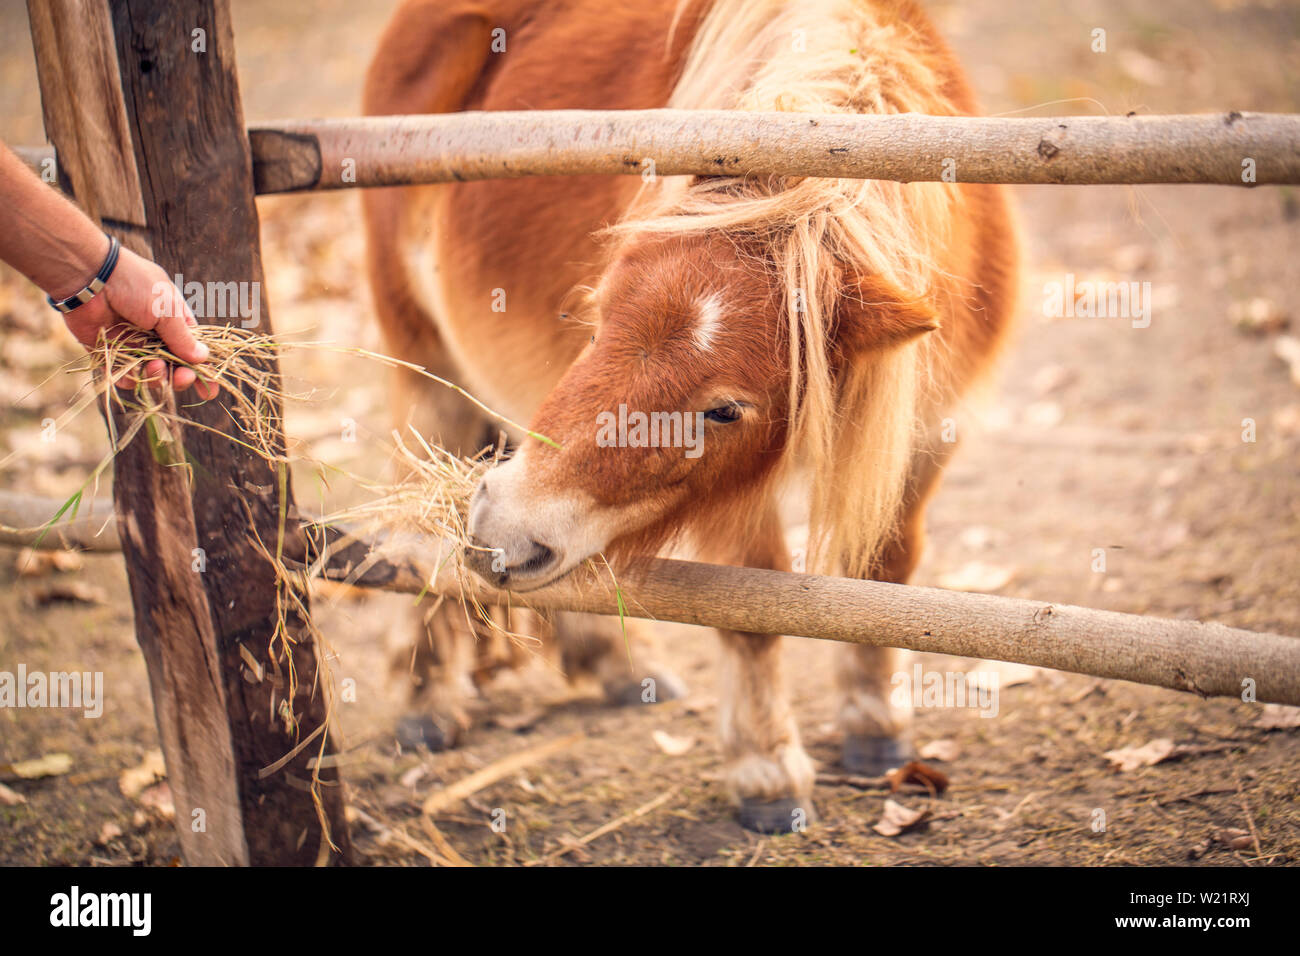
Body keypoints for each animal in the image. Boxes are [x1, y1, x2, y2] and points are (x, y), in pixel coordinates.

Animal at [363, 0, 1019, 832]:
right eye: (597, 316)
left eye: (725, 410)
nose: (505, 528)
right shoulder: (732, 502)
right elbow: (752, 607)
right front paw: (767, 774)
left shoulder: (925, 437)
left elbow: (886, 573)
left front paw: (877, 731)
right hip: (425, 363)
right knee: (413, 524)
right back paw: (424, 704)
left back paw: (615, 668)